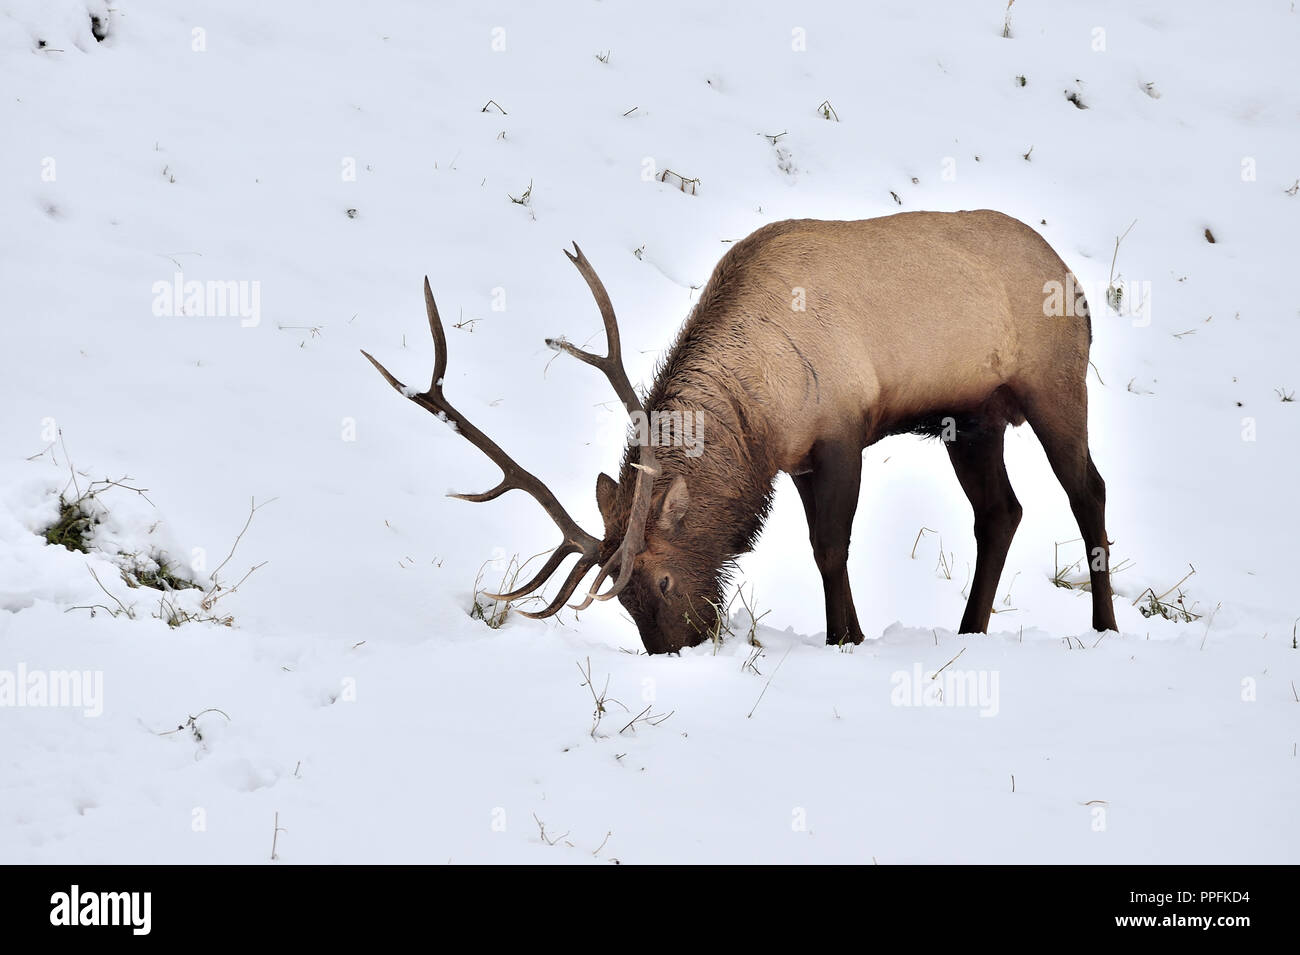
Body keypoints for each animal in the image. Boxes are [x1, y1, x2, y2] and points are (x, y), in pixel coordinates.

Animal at [363, 210, 1119, 655]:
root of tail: (1076, 282)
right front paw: (848, 634)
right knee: (1001, 512)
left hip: (1056, 386)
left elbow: (830, 548)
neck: (762, 409)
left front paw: (846, 640)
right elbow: (823, 549)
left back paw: (1105, 625)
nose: (677, 649)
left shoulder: (840, 433)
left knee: (1089, 492)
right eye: (624, 600)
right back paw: (970, 629)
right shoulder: (798, 458)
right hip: (975, 421)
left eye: (663, 581)